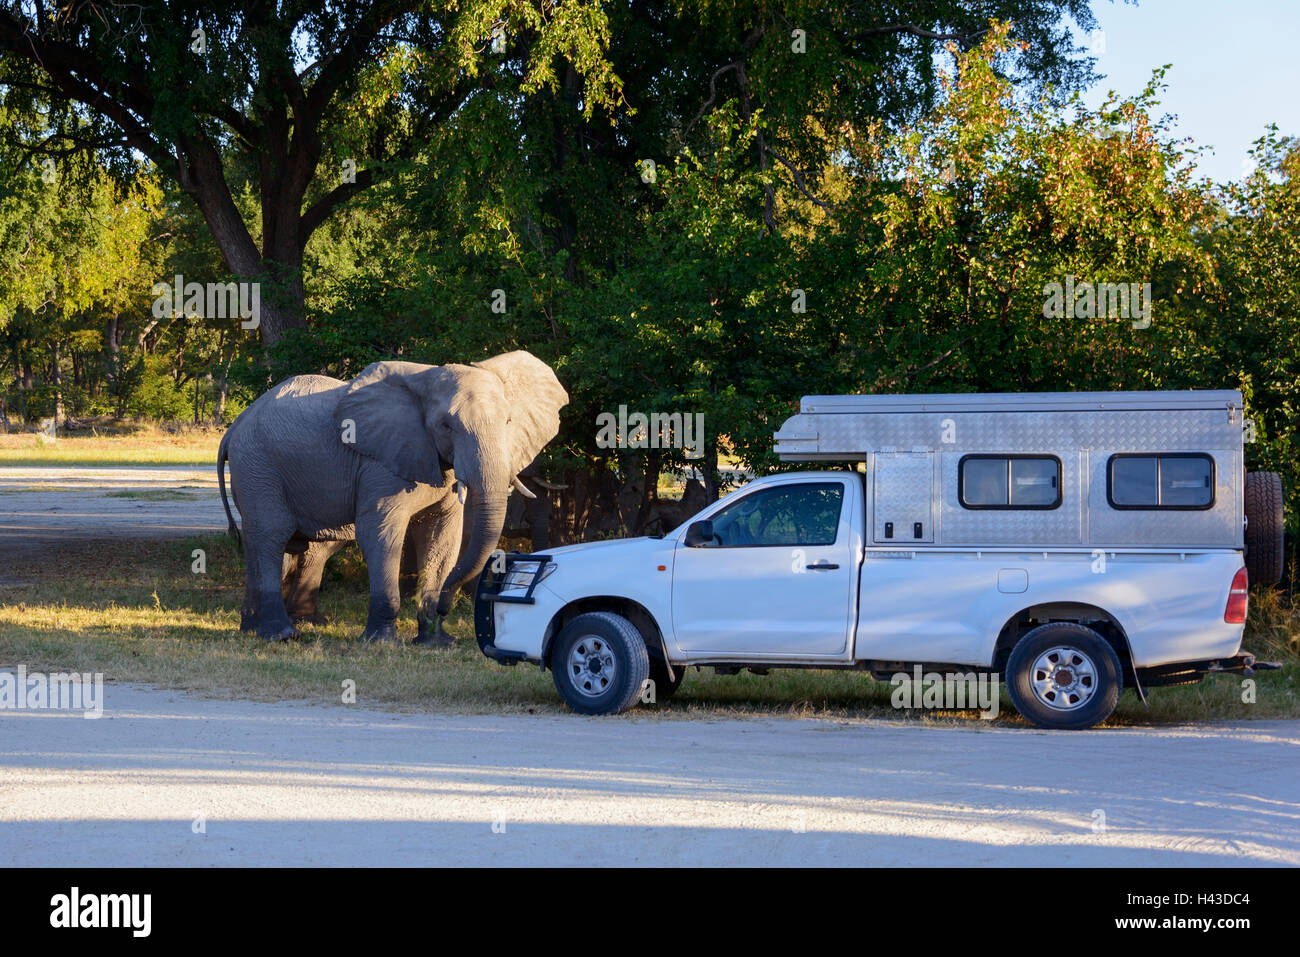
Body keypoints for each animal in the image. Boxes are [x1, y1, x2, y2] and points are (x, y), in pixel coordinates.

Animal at [217, 350, 569, 643]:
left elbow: (442, 537)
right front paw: (380, 642)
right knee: (271, 536)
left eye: (508, 422)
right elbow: (381, 533)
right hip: (257, 466)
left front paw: (436, 641)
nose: (444, 609)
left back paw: (252, 629)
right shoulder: (380, 464)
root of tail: (234, 427)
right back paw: (281, 635)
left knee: (279, 543)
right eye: (445, 426)